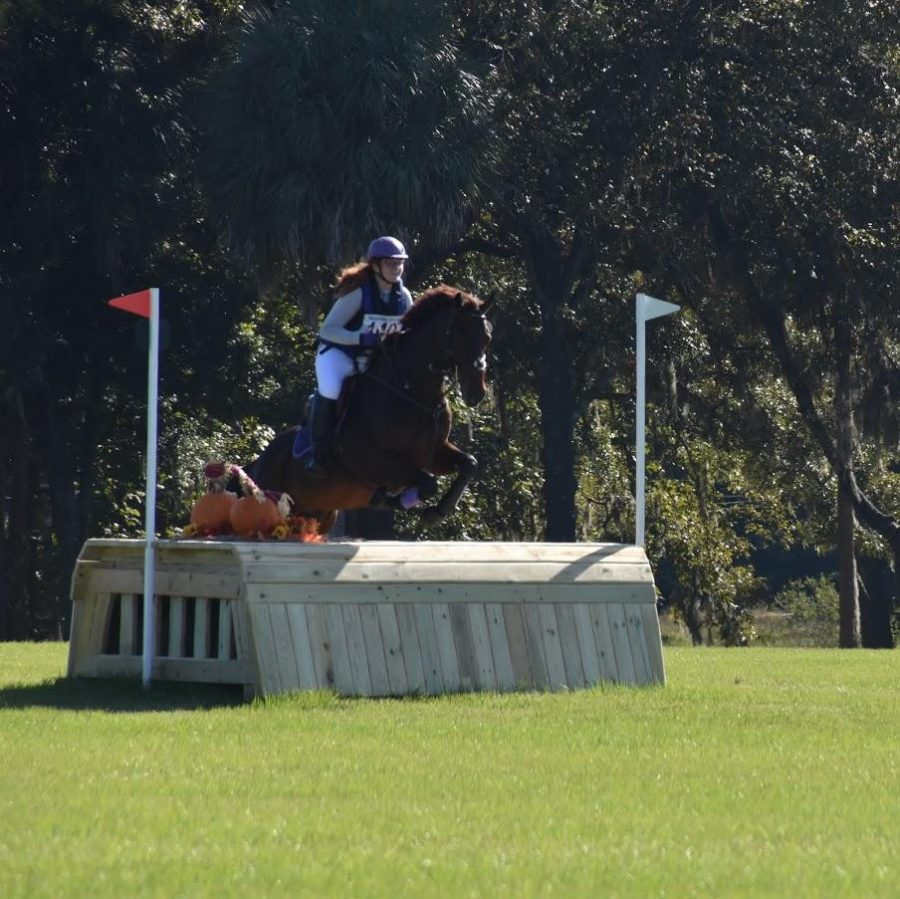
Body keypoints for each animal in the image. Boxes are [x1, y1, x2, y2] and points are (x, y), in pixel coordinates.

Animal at [245, 284, 494, 535]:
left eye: (487, 337)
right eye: (462, 335)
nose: (477, 393)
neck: (413, 393)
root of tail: (259, 461)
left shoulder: (433, 453)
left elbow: (469, 464)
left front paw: (438, 512)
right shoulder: (367, 458)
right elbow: (428, 482)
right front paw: (401, 502)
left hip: (320, 516)